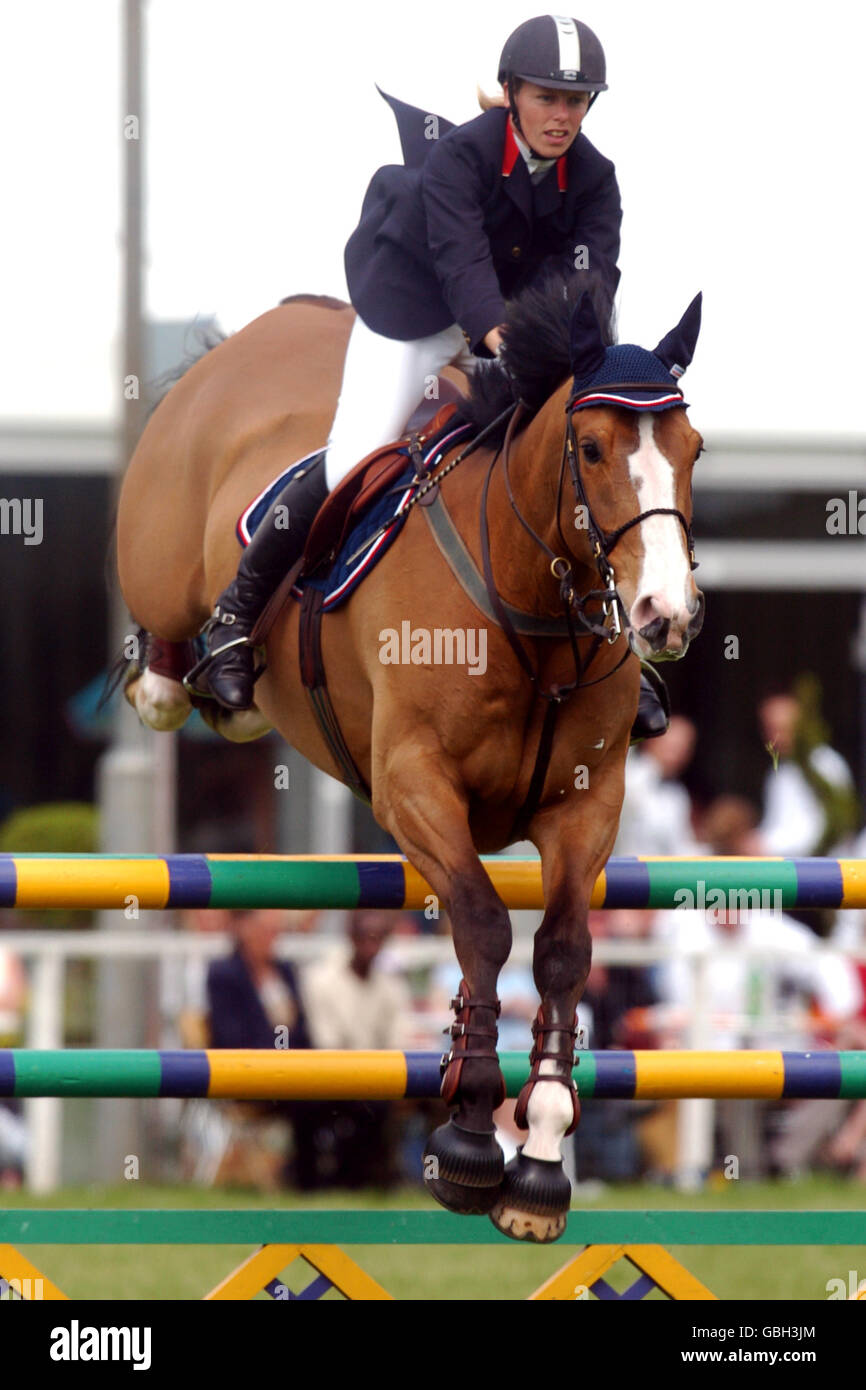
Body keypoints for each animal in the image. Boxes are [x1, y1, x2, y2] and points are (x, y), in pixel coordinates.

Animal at [117, 273, 705, 1241]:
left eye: (693, 448)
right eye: (590, 446)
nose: (665, 614)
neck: (530, 611)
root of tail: (264, 326)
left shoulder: (586, 807)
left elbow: (563, 951)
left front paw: (540, 1155)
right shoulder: (415, 788)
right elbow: (483, 924)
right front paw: (467, 1137)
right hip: (162, 563)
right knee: (164, 645)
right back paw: (200, 668)